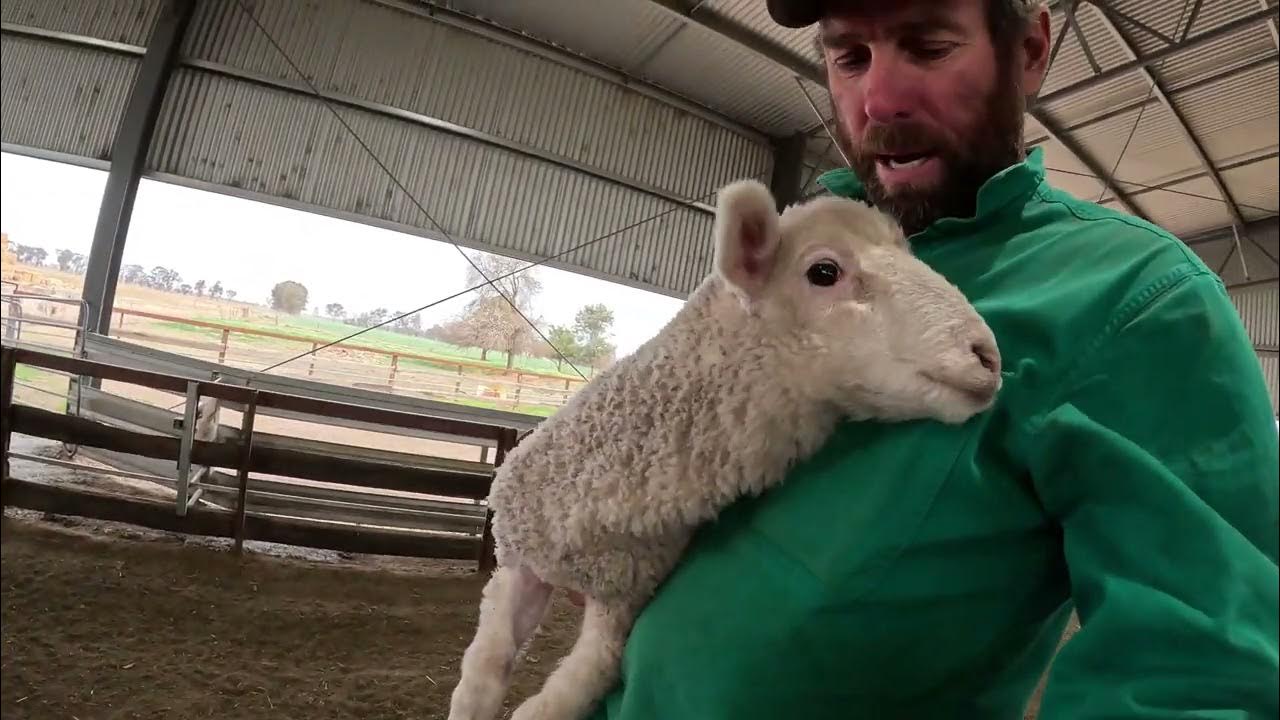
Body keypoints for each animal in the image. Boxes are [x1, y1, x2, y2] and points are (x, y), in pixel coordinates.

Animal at [447, 178, 1003, 720]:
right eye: (824, 271)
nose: (988, 357)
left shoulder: (621, 607)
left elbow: (544, 706)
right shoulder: (517, 562)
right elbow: (479, 684)